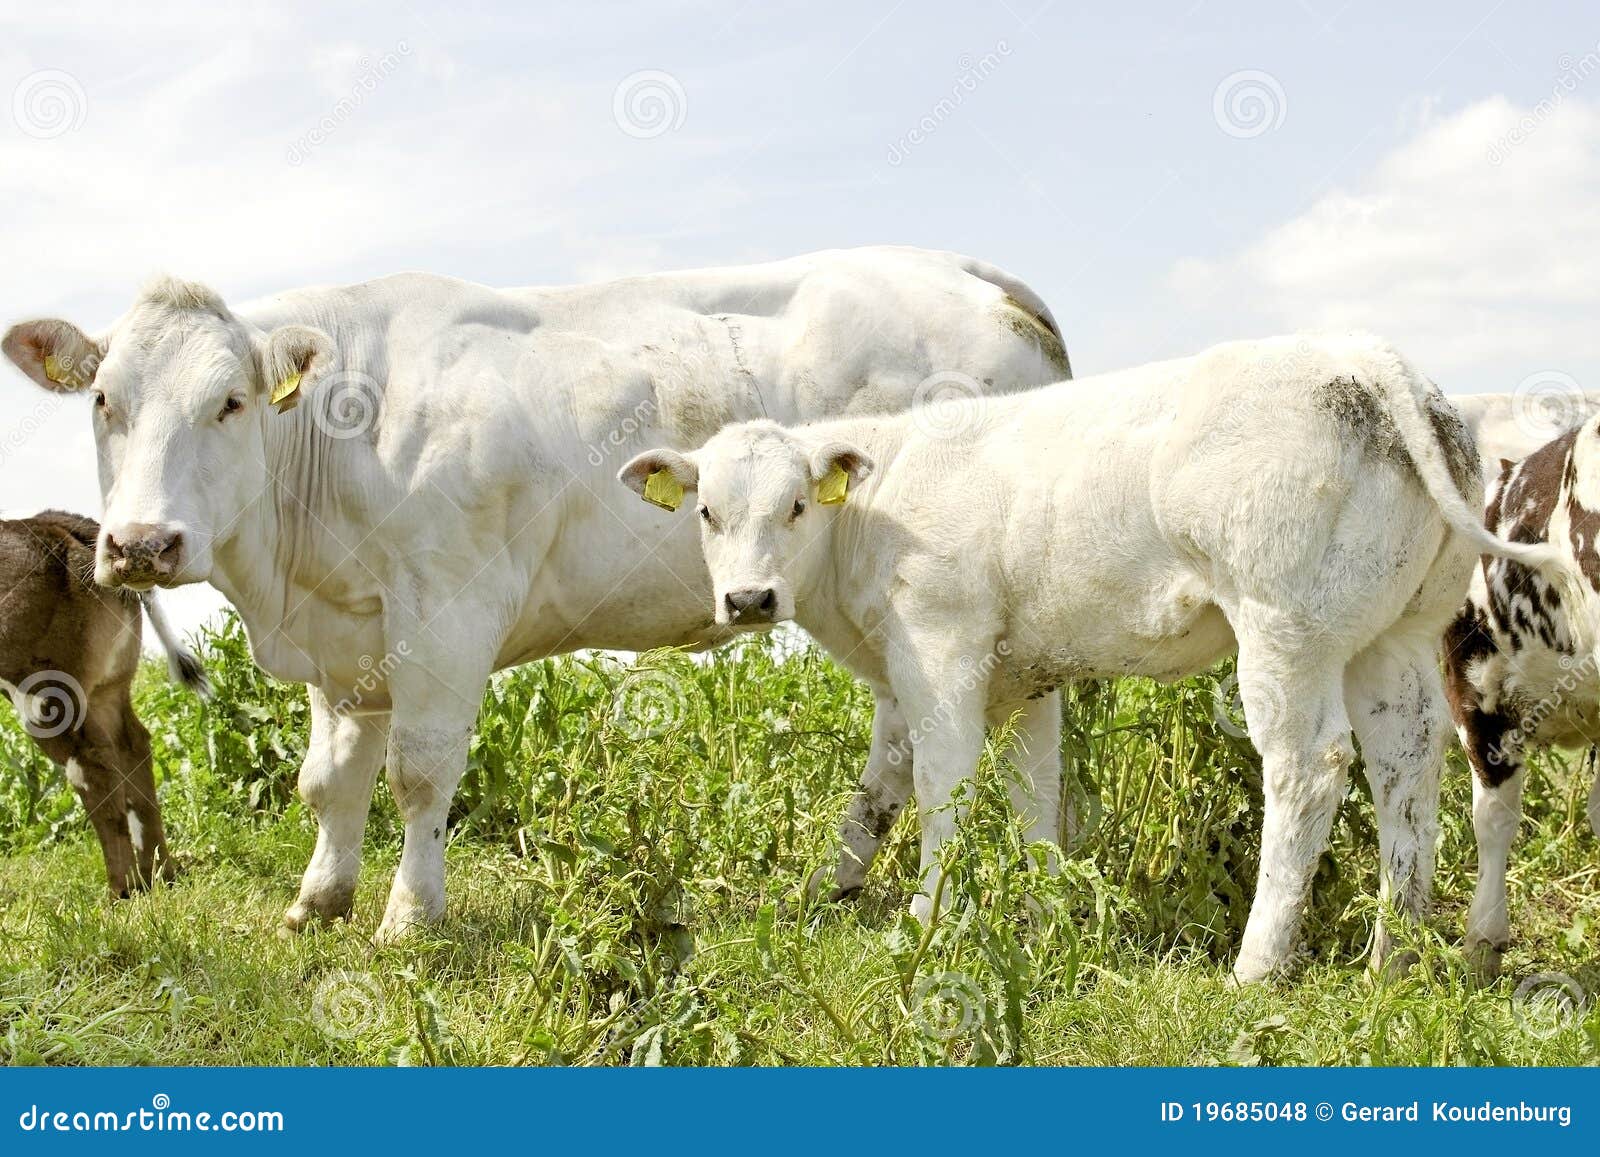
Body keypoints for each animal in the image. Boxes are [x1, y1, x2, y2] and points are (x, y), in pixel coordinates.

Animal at [0, 510, 208, 894]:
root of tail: (50, 523)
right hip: (108, 687)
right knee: (131, 746)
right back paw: (158, 874)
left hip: (46, 692)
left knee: (92, 763)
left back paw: (122, 889)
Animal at [619, 333, 1576, 983]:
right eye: (706, 511)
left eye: (795, 506)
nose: (749, 600)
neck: (872, 516)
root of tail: (1374, 358)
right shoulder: (1020, 677)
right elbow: (1008, 795)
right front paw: (1039, 919)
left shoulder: (941, 649)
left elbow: (939, 784)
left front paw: (928, 921)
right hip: (1397, 635)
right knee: (1406, 769)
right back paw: (1392, 956)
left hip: (1286, 627)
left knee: (1309, 768)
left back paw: (1257, 965)